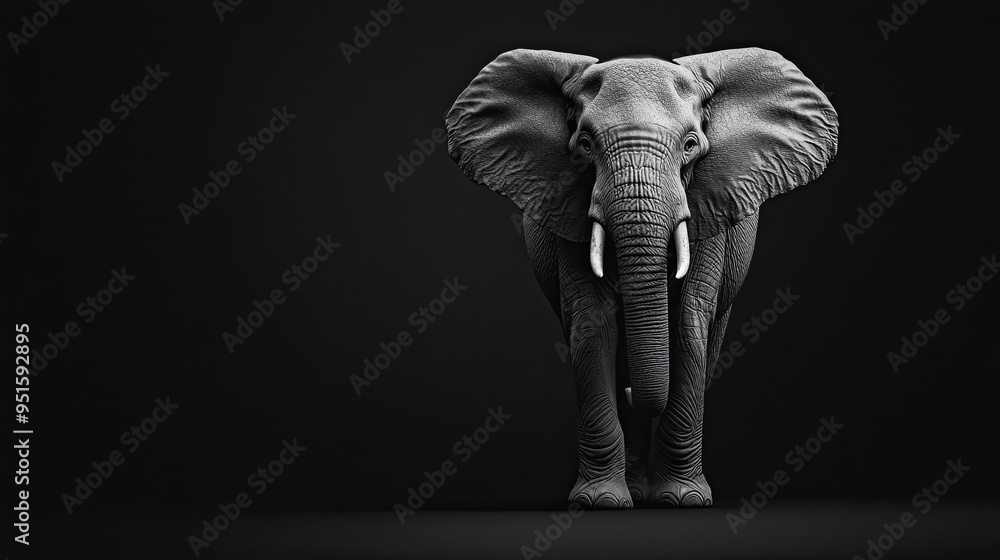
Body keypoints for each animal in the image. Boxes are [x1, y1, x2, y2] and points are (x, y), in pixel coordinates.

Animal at [445, 48, 838, 508]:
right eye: (585, 144)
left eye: (690, 145)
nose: (636, 391)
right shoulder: (568, 208)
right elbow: (593, 324)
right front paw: (598, 502)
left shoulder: (709, 207)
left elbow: (688, 322)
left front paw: (684, 501)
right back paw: (631, 488)